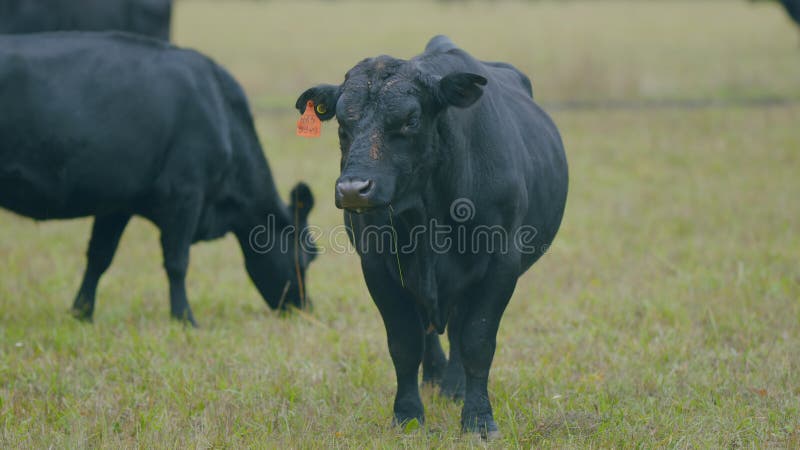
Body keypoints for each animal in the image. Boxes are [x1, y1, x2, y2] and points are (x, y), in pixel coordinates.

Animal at [0, 32, 316, 327]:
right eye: (307, 256)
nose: (306, 309)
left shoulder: (118, 204)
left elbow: (99, 257)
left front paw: (82, 314)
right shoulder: (185, 194)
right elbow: (177, 262)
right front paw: (185, 318)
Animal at [296, 35, 568, 438]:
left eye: (410, 119)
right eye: (343, 122)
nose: (353, 189)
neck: (427, 214)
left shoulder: (500, 265)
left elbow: (477, 341)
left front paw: (478, 419)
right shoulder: (378, 268)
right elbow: (405, 343)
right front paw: (407, 414)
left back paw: (455, 388)